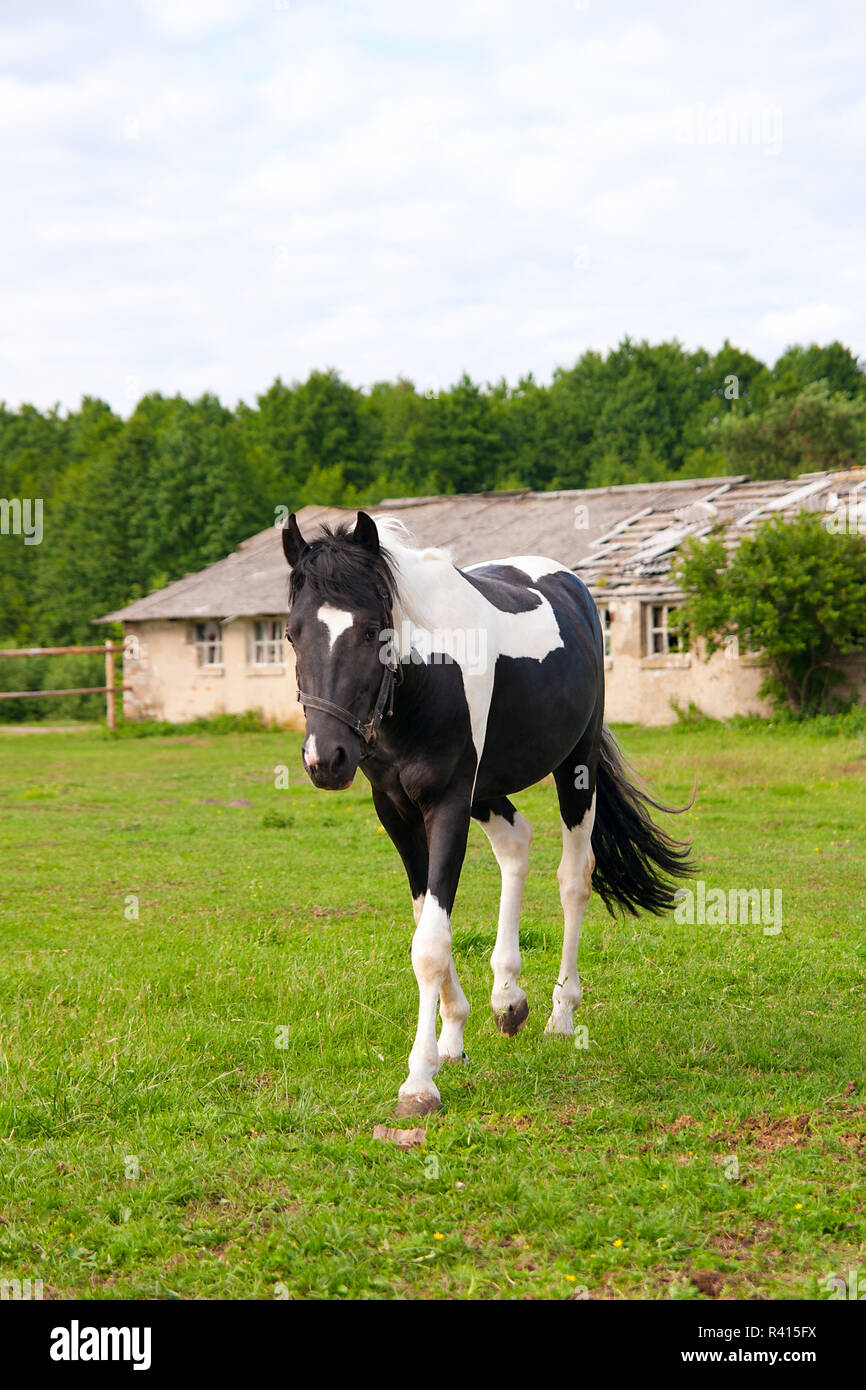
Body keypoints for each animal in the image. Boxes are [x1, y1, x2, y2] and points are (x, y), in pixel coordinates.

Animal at [281, 510, 693, 1116]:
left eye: (372, 631)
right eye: (292, 634)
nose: (325, 759)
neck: (426, 674)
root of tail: (569, 584)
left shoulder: (449, 804)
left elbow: (430, 944)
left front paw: (419, 1081)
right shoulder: (397, 811)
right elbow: (428, 918)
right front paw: (453, 1035)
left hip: (575, 768)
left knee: (574, 878)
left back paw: (559, 1014)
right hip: (489, 791)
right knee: (516, 844)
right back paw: (508, 998)